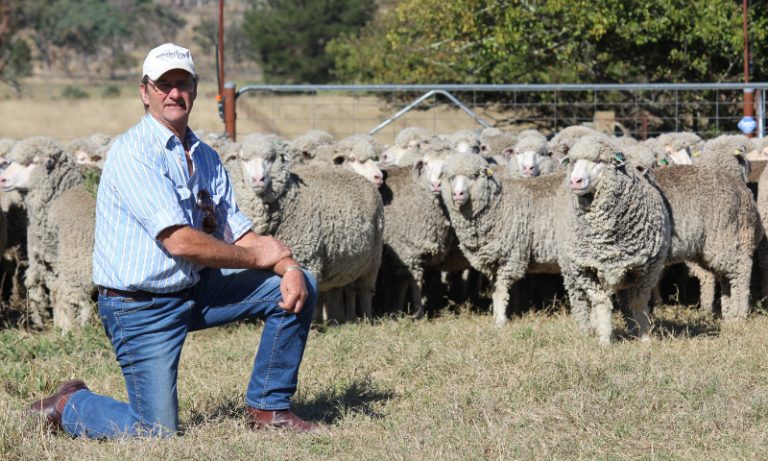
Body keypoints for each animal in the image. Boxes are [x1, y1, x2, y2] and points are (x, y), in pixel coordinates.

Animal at [223, 134, 384, 322]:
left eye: (270, 158)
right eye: (243, 159)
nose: (258, 180)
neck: (290, 199)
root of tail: (362, 179)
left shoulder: (306, 258)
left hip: (372, 260)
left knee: (364, 291)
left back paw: (365, 318)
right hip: (347, 262)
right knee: (346, 289)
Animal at [560, 135, 671, 344]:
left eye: (599, 161)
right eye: (573, 161)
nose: (575, 181)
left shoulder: (647, 270)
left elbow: (639, 304)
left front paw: (645, 339)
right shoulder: (586, 270)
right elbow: (601, 304)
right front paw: (604, 340)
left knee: (628, 302)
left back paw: (634, 330)